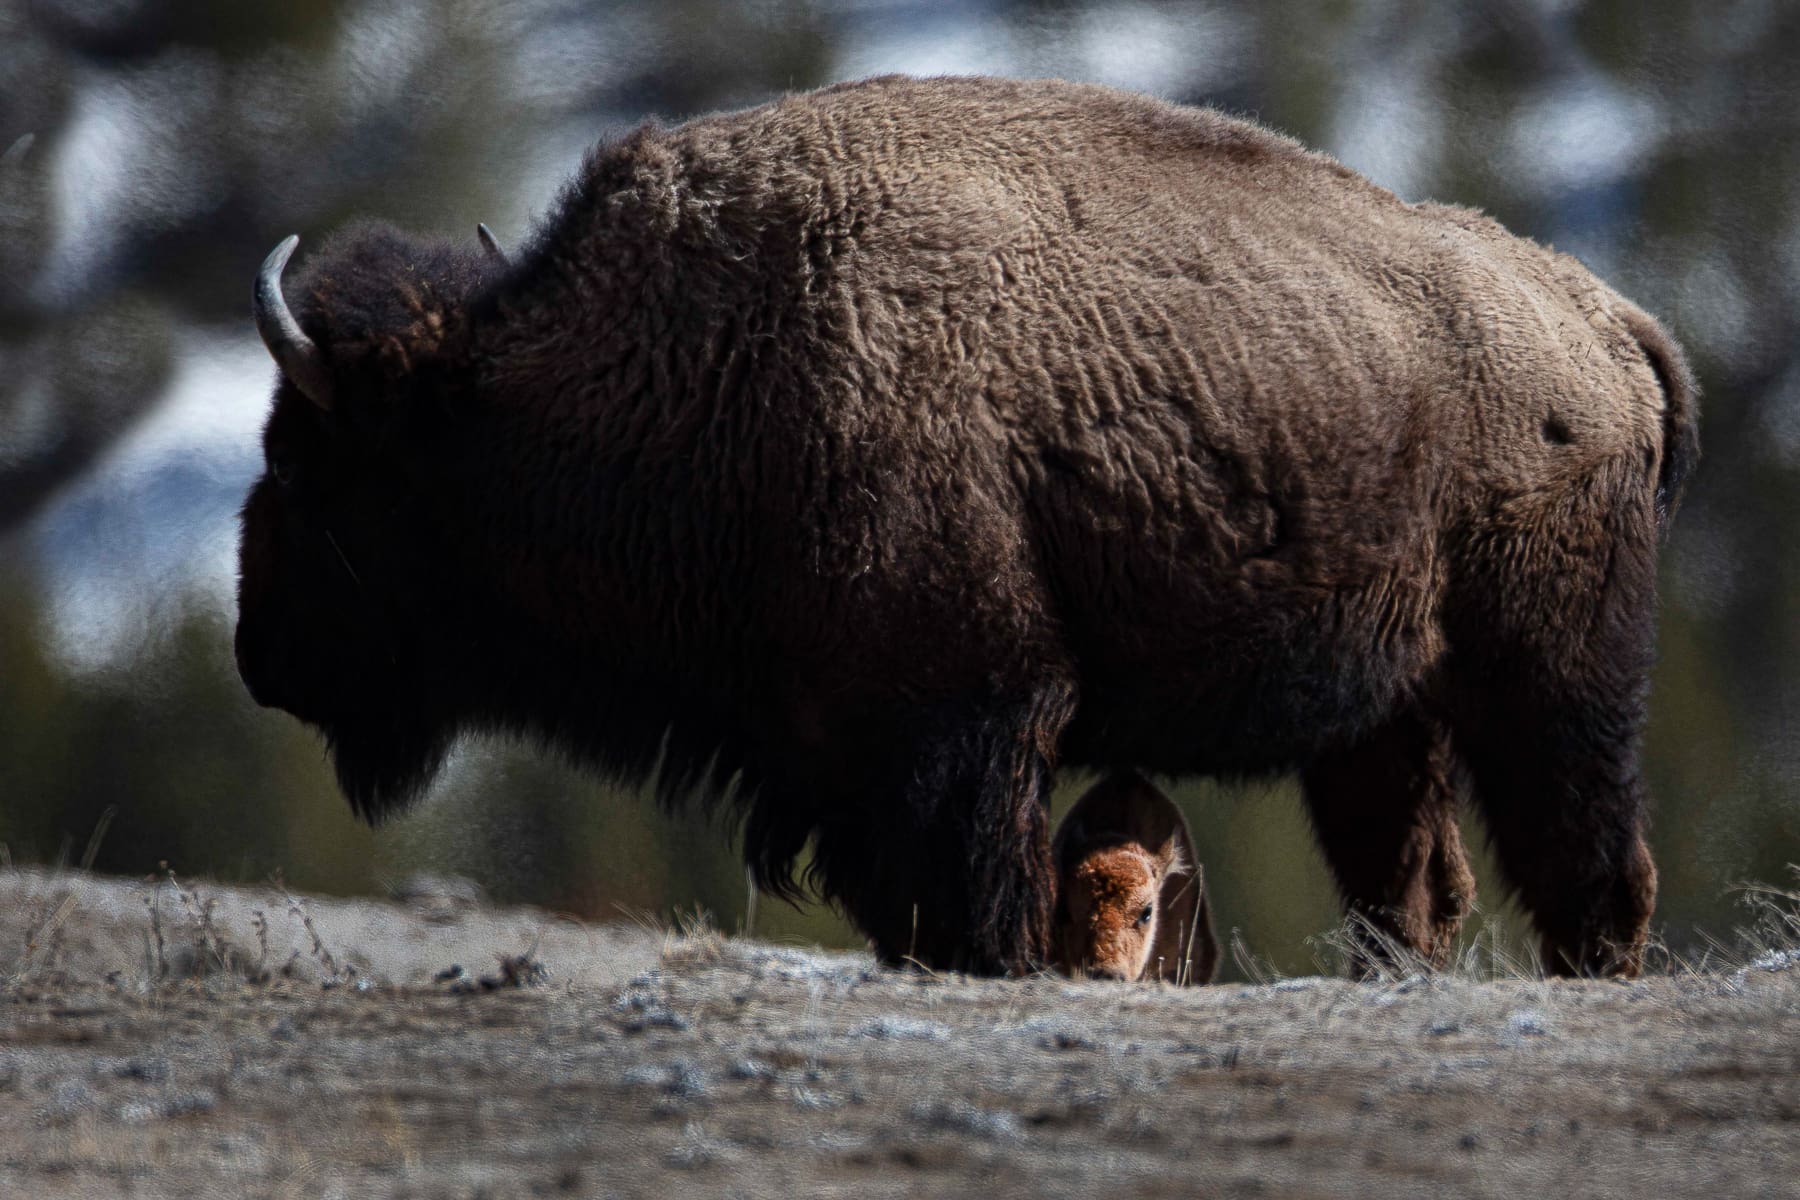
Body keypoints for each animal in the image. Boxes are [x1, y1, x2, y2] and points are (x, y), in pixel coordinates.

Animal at [237, 75, 1696, 978]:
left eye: (308, 463)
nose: (256, 652)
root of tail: (1604, 319)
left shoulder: (967, 721)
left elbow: (981, 897)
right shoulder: (853, 757)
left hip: (1551, 682)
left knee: (1590, 864)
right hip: (1388, 713)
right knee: (1412, 879)